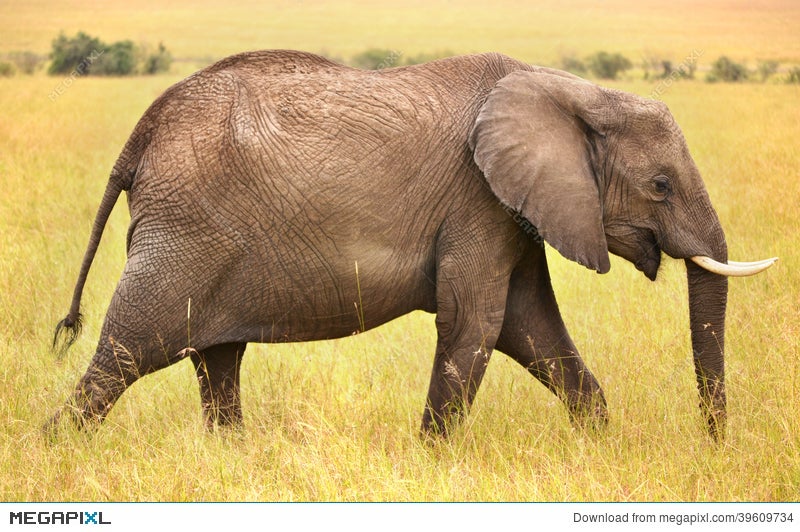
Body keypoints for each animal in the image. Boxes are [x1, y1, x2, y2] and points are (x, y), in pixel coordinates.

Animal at [48, 50, 776, 440]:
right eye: (660, 186)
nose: (711, 442)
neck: (570, 89)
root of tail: (144, 132)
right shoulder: (477, 201)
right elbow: (478, 324)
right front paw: (432, 461)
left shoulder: (509, 212)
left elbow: (530, 327)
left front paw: (598, 441)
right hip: (184, 234)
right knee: (123, 356)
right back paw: (54, 450)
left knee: (216, 362)